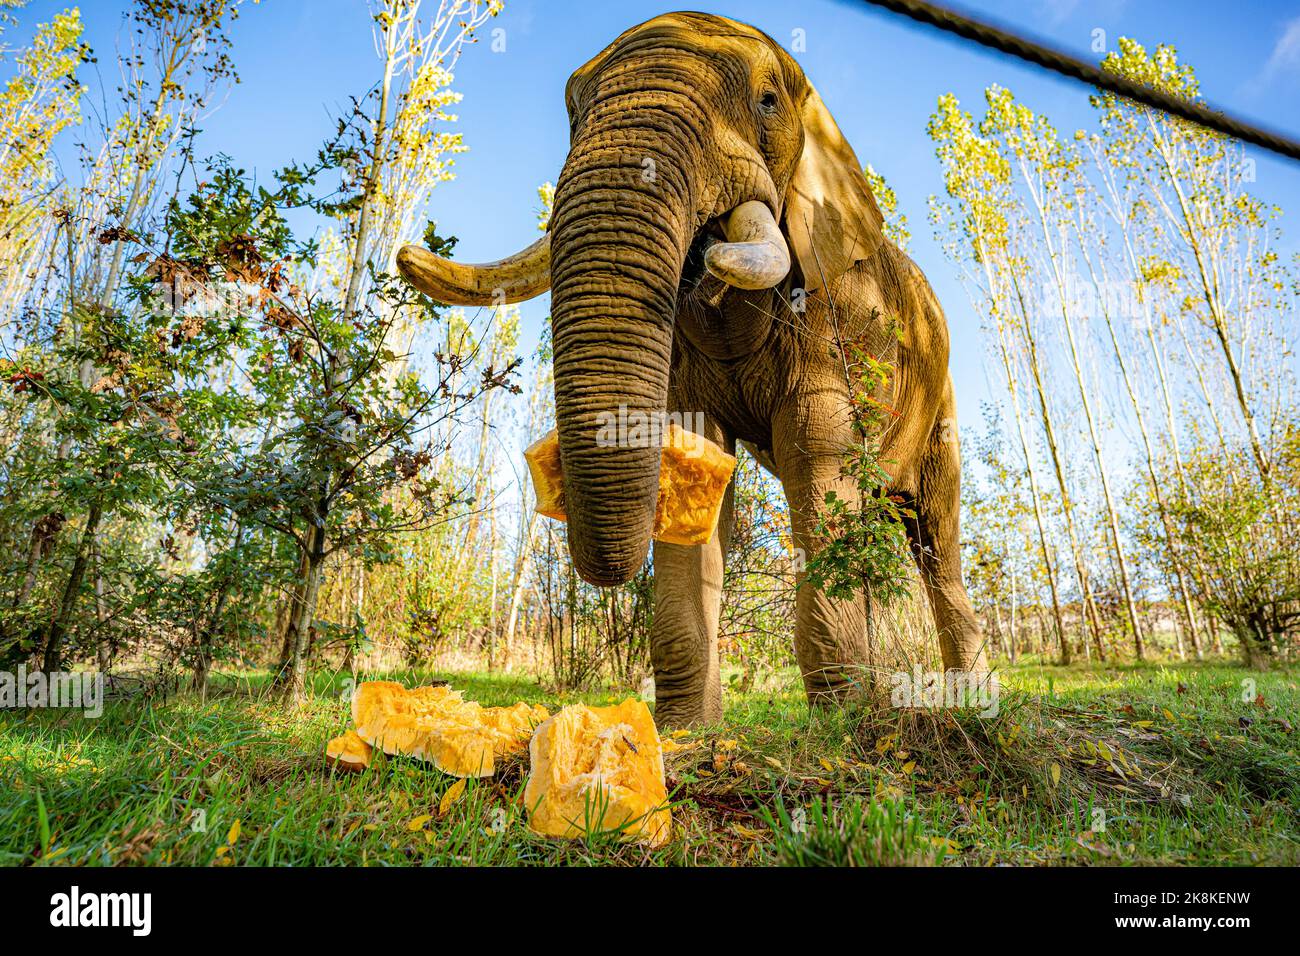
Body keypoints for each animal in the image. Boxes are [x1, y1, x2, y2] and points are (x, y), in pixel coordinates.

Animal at [397, 11, 987, 727]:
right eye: (572, 114)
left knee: (936, 539)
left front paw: (845, 723)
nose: (405, 251)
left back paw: (970, 701)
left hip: (943, 405)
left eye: (768, 100)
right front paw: (685, 732)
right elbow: (697, 462)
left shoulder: (837, 320)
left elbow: (814, 454)